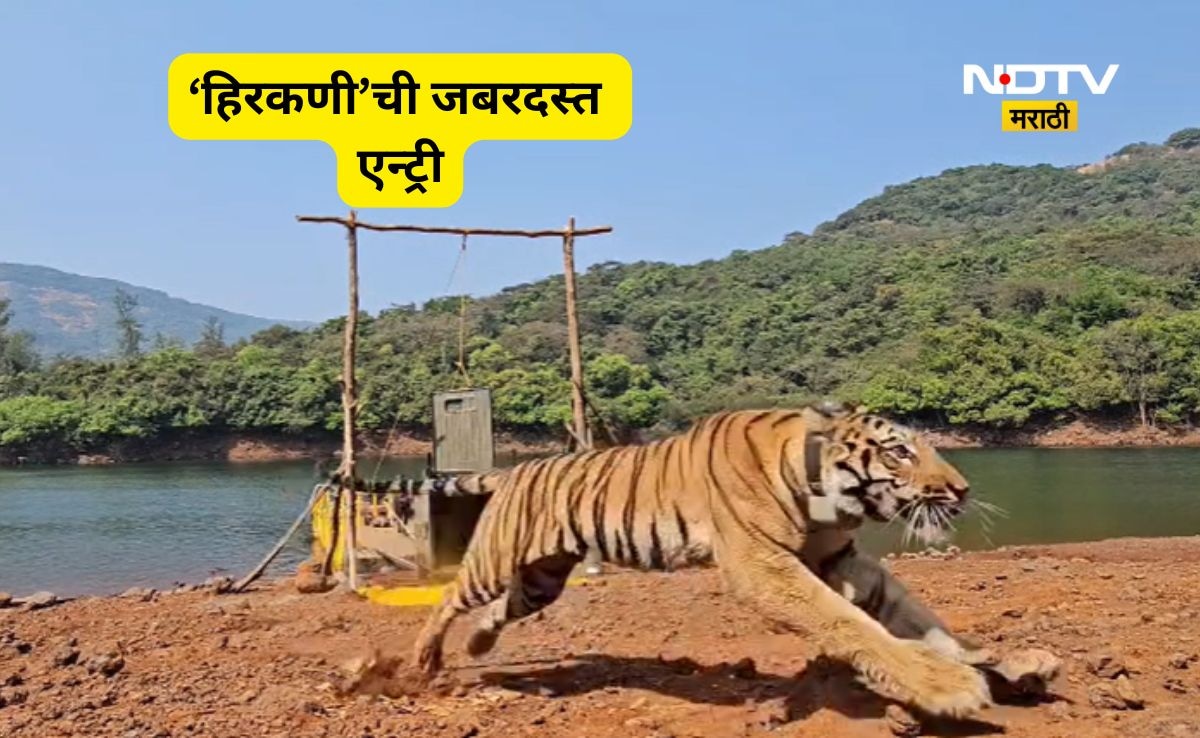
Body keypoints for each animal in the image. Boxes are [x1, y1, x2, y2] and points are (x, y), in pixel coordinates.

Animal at [411, 403, 1020, 718]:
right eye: (900, 452)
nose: (963, 490)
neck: (824, 492)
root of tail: (514, 469)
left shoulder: (839, 558)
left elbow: (911, 613)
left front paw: (998, 662)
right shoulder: (764, 566)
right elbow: (851, 623)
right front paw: (946, 685)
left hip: (543, 577)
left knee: (498, 609)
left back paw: (478, 645)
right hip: (494, 559)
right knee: (448, 598)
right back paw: (421, 663)